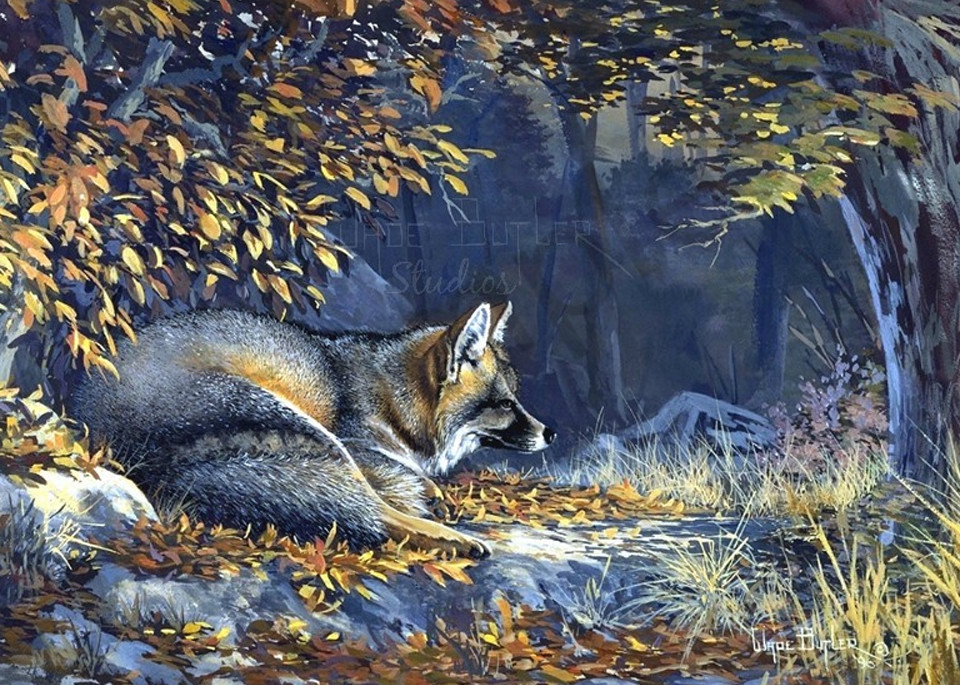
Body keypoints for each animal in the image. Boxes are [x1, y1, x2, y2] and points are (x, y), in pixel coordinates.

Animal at [70, 301, 555, 558]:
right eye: (505, 404)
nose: (550, 433)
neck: (393, 399)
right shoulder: (357, 444)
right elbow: (405, 480)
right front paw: (431, 497)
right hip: (308, 428)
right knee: (377, 513)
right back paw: (452, 539)